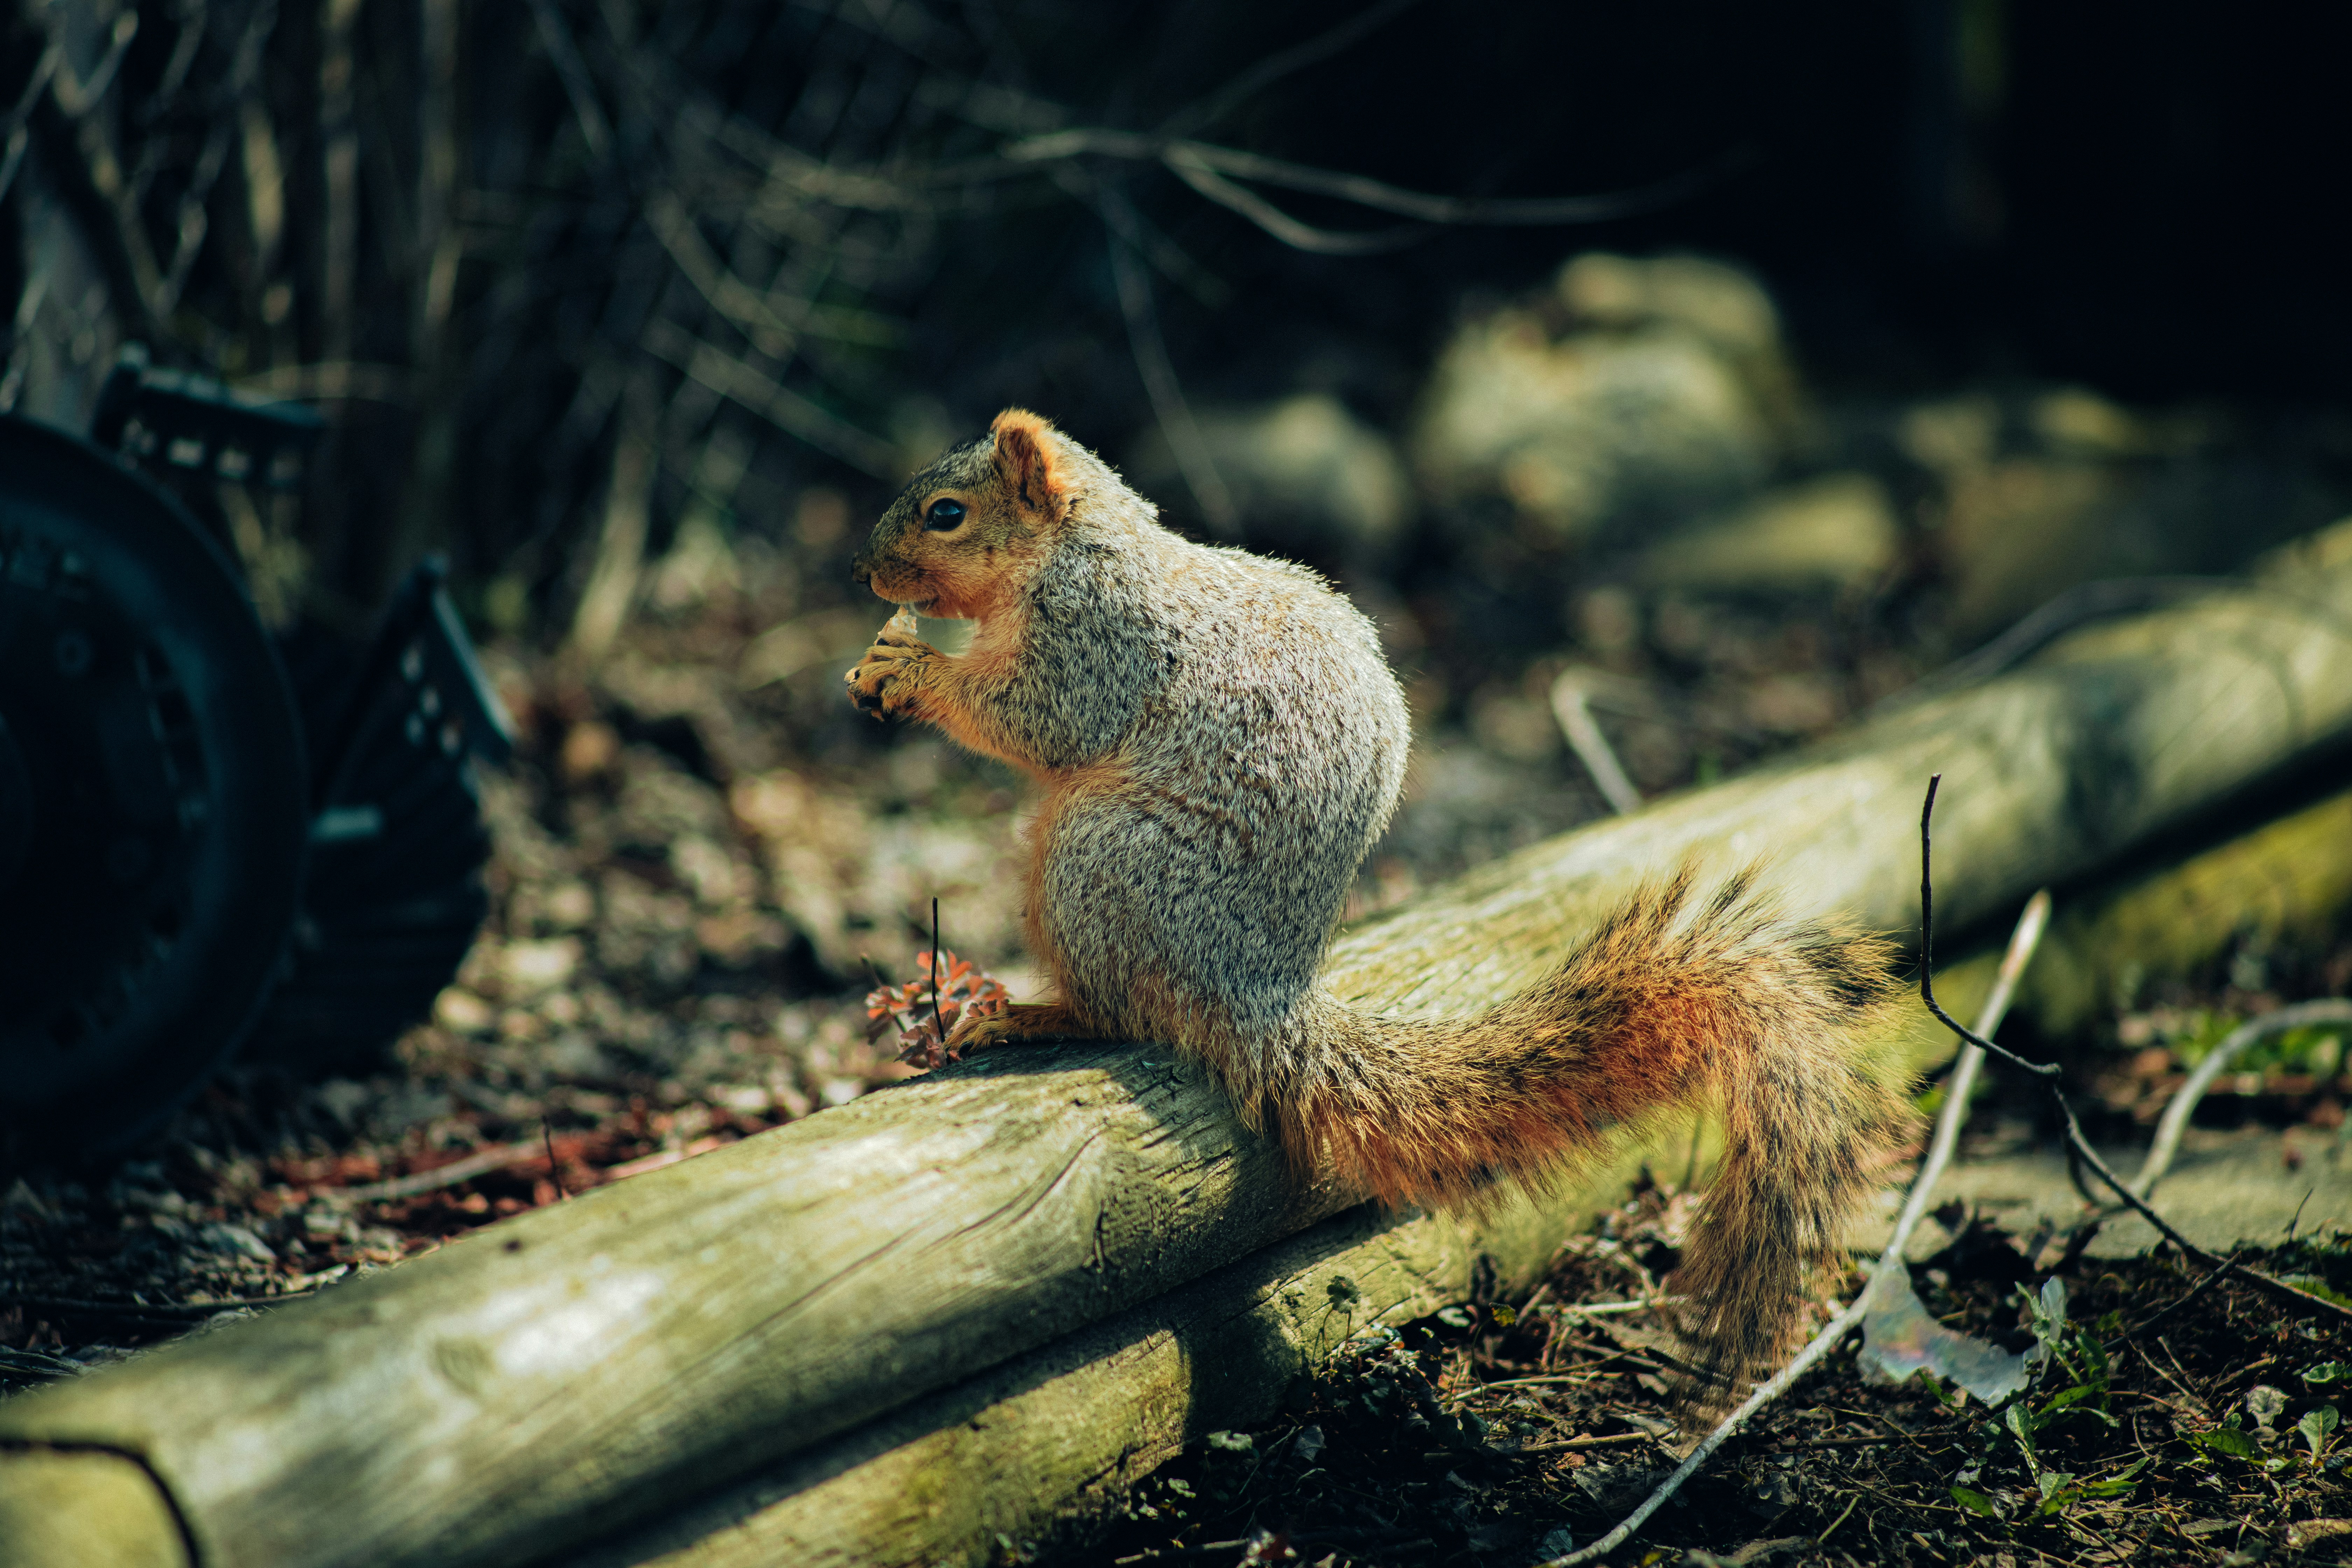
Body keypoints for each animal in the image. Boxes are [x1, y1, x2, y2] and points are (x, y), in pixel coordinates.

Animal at [846, 408, 1911, 1391]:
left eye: (946, 514)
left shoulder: (1095, 640)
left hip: (1095, 864)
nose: (866, 572)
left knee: (1121, 1013)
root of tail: (1259, 993)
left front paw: (912, 668)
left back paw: (1034, 1015)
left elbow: (1038, 720)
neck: (1075, 548)